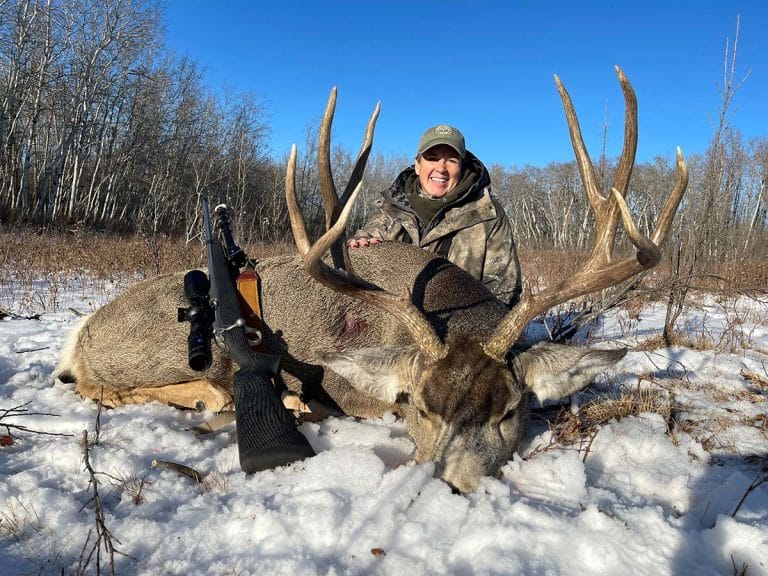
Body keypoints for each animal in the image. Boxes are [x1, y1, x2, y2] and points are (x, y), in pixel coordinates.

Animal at [55, 66, 688, 493]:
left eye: (509, 411)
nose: (449, 484)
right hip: (170, 346)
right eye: (419, 408)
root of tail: (77, 337)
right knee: (105, 387)